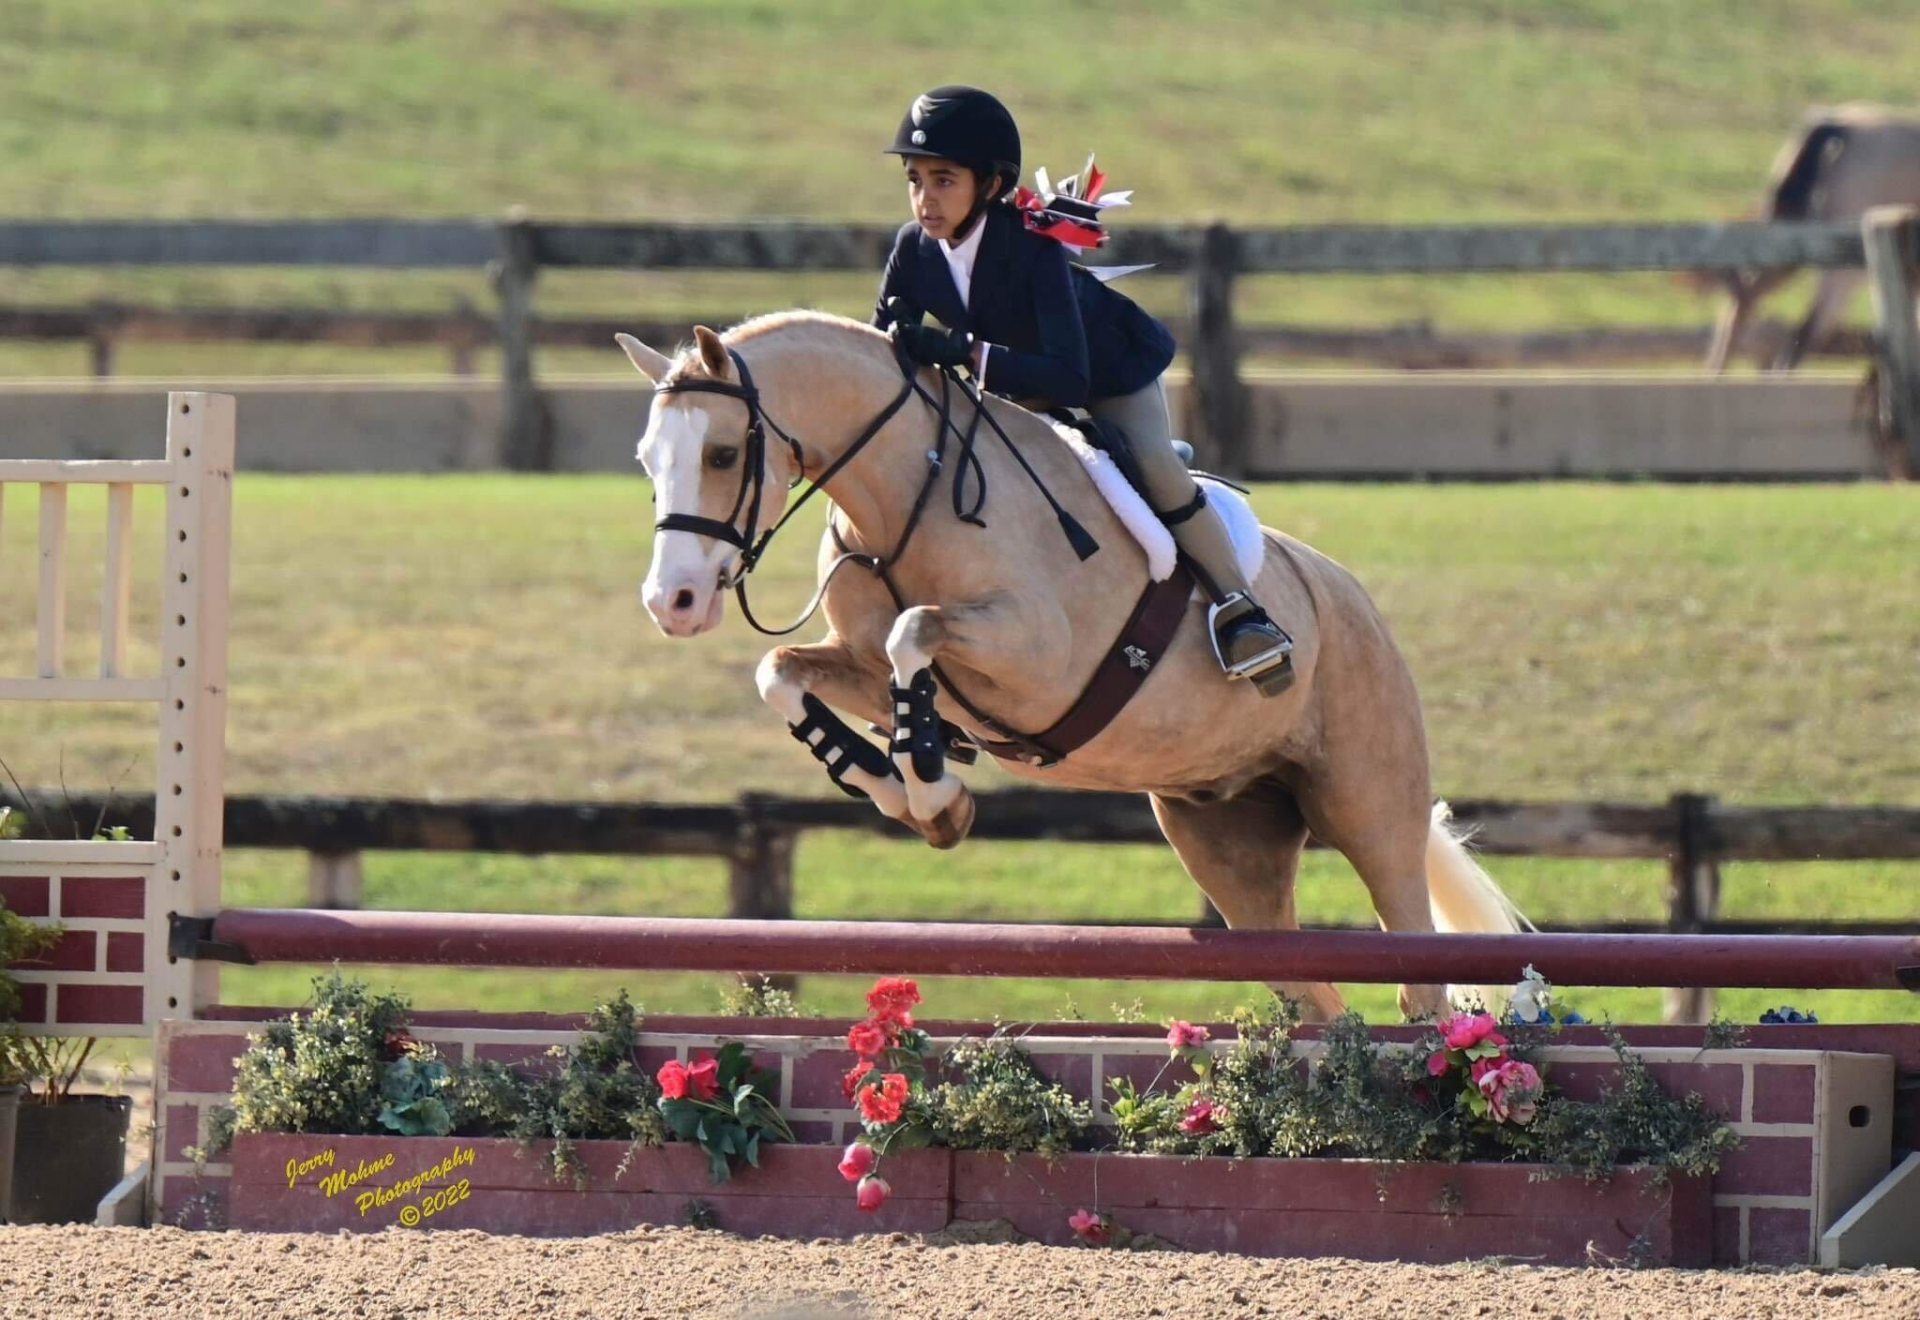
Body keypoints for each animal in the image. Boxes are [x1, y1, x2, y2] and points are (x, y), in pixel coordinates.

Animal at [618, 312, 1526, 1020]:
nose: (674, 602)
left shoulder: (1037, 658)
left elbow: (914, 631)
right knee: (1318, 1001)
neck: (909, 495)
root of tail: (1356, 602)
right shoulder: (866, 664)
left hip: (1368, 810)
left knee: (1417, 976)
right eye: (646, 460)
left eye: (724, 455)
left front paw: (932, 786)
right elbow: (784, 672)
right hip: (1231, 844)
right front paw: (903, 786)